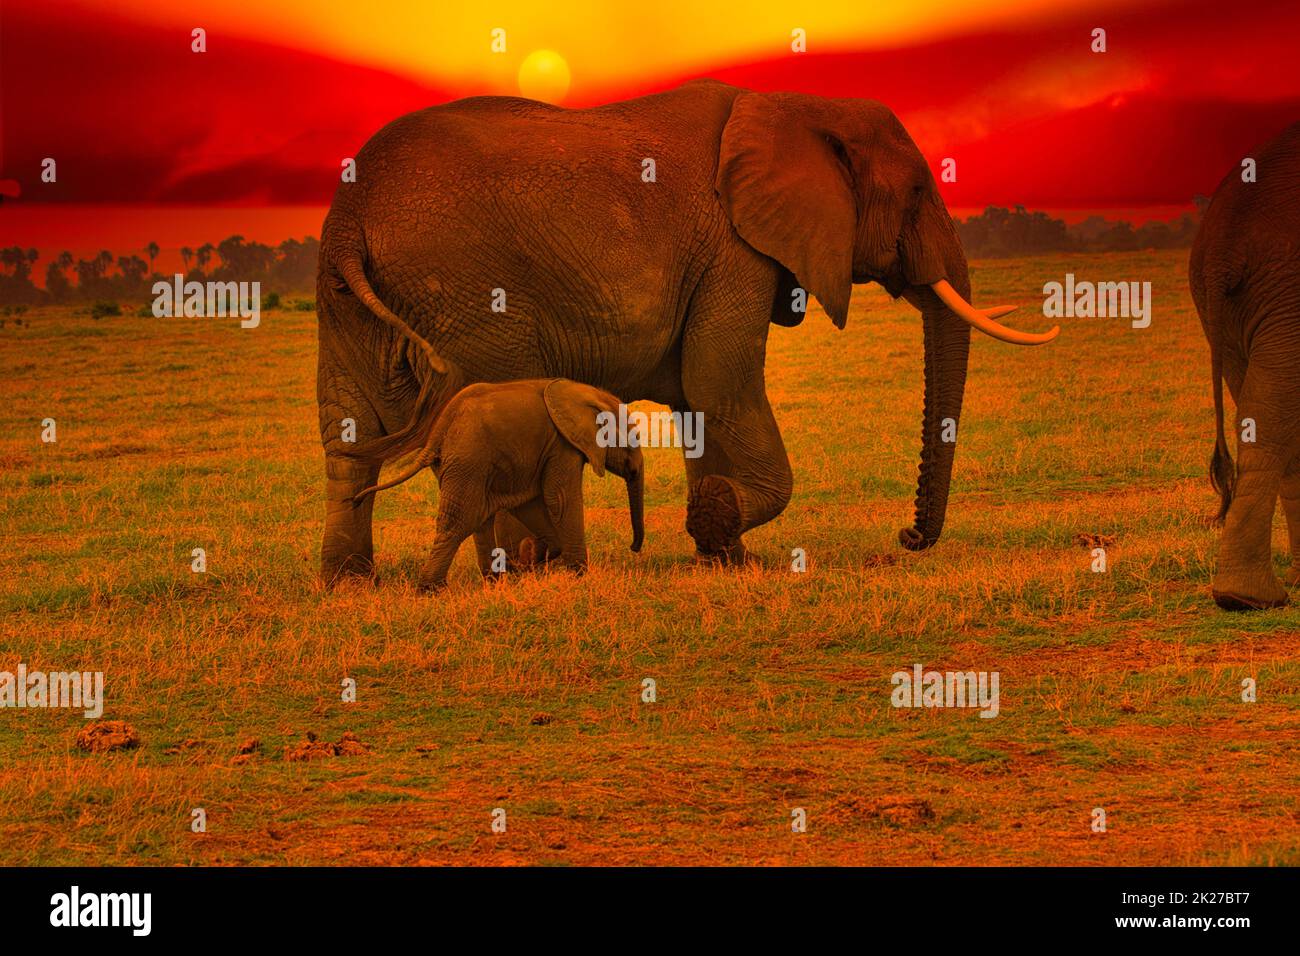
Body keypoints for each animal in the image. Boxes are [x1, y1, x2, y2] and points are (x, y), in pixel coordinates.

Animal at [351, 378, 644, 589]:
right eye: (631, 440)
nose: (634, 548)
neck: (590, 394)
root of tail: (440, 426)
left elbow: (531, 502)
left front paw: (540, 559)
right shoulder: (563, 444)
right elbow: (559, 498)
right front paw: (578, 574)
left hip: (460, 463)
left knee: (479, 516)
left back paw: (493, 581)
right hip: (468, 458)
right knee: (460, 520)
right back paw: (431, 589)